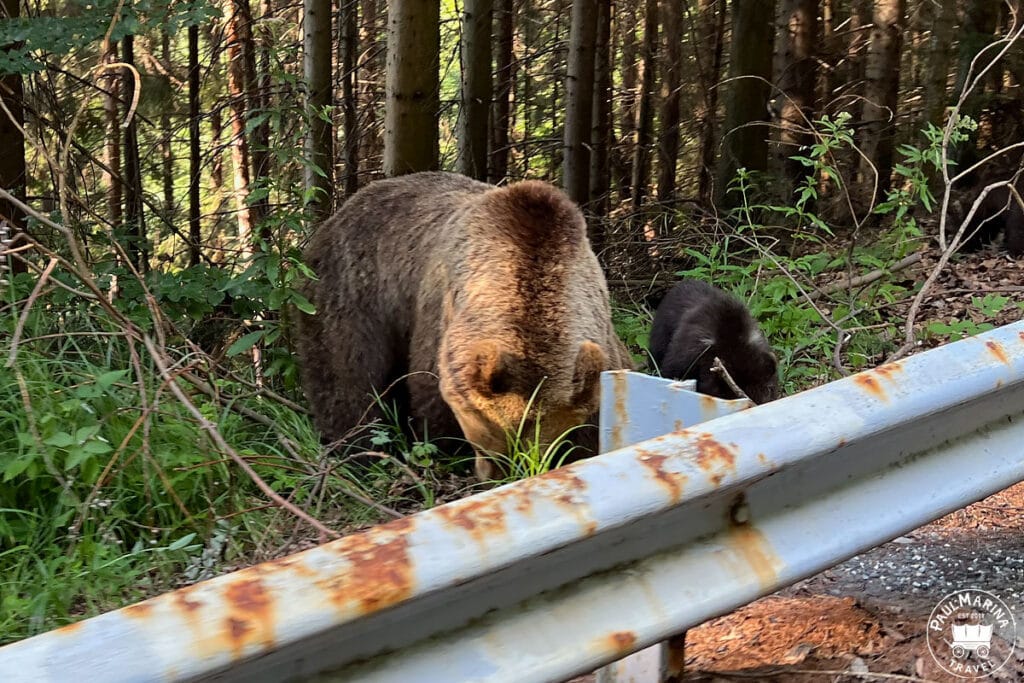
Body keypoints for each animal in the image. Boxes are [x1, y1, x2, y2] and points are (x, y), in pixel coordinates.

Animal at [295, 172, 633, 480]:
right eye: (487, 434)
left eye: (538, 442)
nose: (495, 473)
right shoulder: (439, 319)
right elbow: (429, 399)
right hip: (351, 290)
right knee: (345, 376)